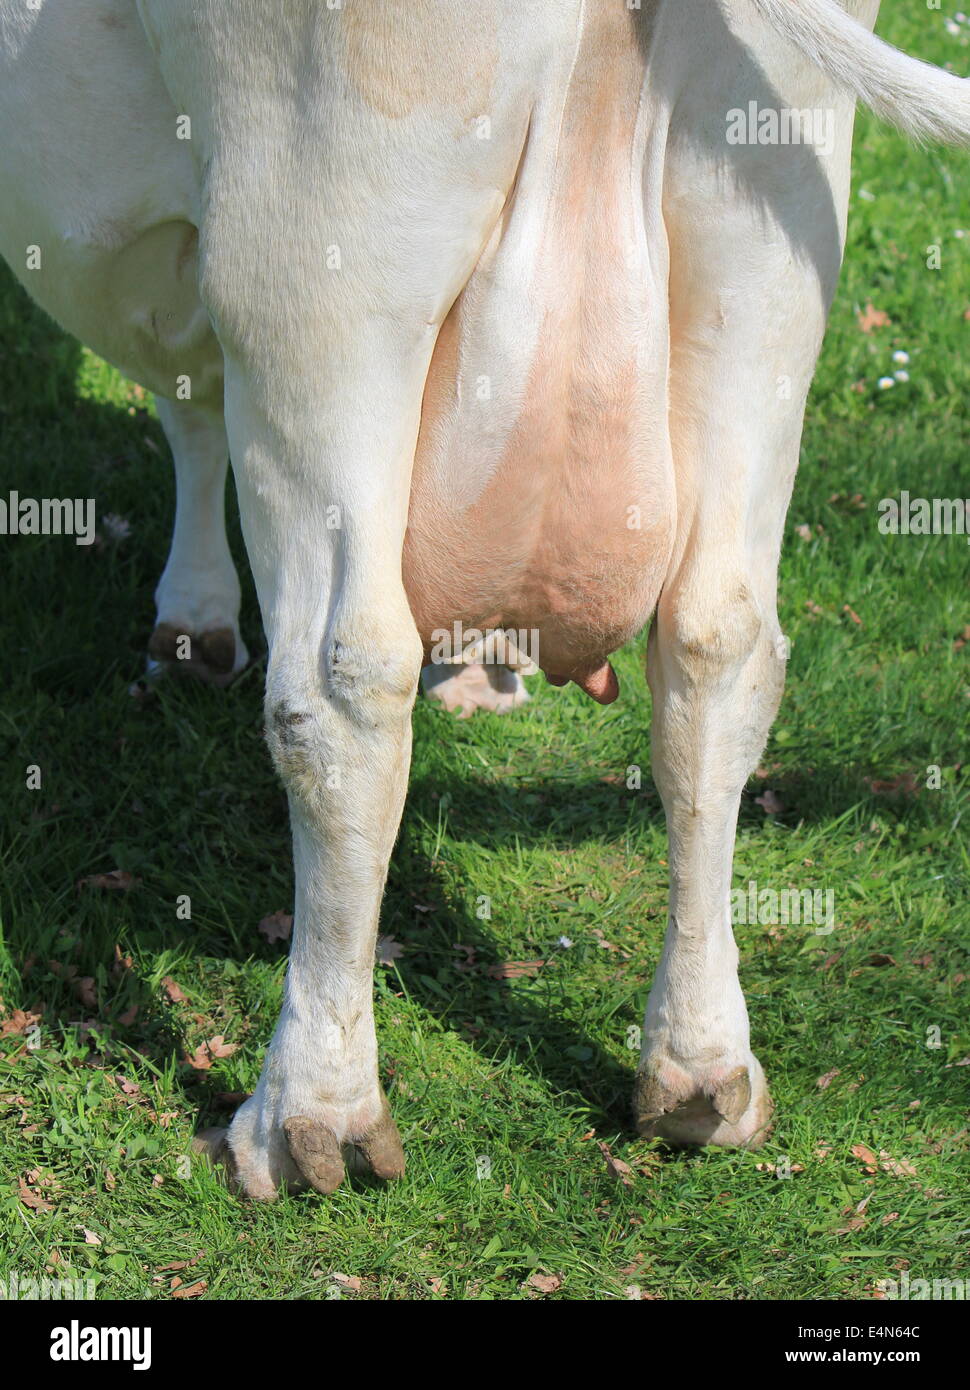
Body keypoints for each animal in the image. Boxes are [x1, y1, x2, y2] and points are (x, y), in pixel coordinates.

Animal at [1, 0, 967, 1200]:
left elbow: (188, 398)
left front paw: (194, 617)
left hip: (317, 255)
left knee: (343, 686)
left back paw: (310, 1116)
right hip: (765, 262)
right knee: (718, 646)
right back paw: (699, 1074)